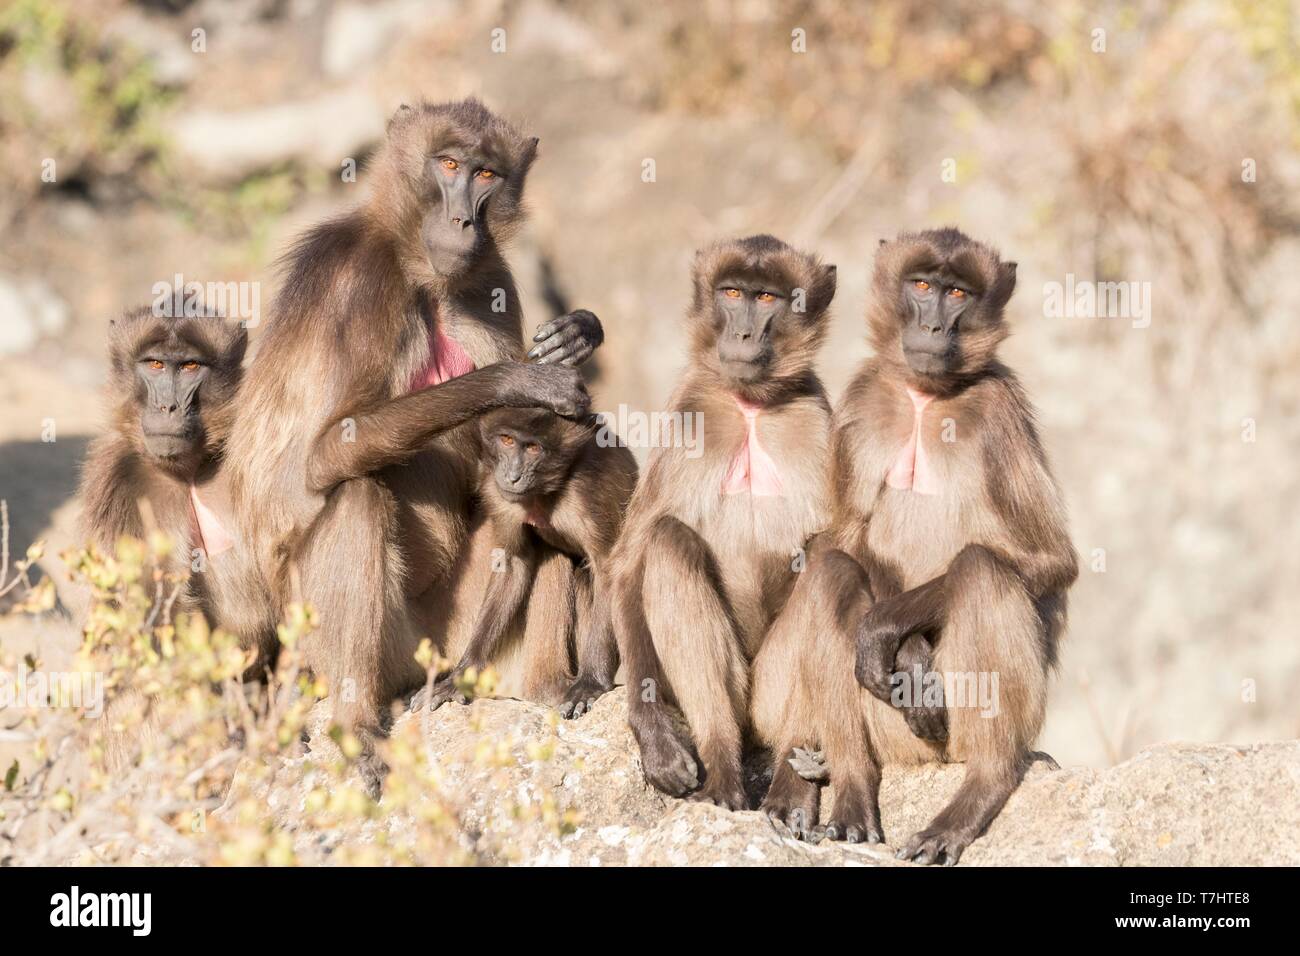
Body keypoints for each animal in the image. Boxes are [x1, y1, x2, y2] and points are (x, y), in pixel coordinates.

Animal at [210, 99, 604, 796]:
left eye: (486, 174)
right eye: (447, 164)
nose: (461, 220)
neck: (422, 271)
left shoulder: (492, 281)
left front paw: (578, 334)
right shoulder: (357, 283)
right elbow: (322, 454)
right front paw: (518, 379)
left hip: (454, 637)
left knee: (540, 536)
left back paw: (547, 692)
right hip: (346, 639)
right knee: (356, 498)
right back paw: (357, 727)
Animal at [417, 406, 637, 717]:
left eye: (533, 448)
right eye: (507, 440)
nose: (511, 476)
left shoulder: (591, 492)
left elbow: (609, 569)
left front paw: (591, 682)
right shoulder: (499, 495)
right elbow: (513, 565)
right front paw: (460, 677)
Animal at [610, 235, 837, 810]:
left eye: (767, 298)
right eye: (732, 293)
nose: (743, 334)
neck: (750, 407)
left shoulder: (817, 422)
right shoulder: (688, 416)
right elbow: (629, 564)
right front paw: (656, 735)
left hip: (769, 691)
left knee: (828, 553)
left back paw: (793, 778)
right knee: (669, 541)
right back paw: (722, 768)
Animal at [757, 227, 1078, 864]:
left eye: (958, 293)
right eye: (922, 285)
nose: (933, 327)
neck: (925, 398)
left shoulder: (1000, 408)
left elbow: (1051, 561)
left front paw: (890, 634)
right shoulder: (864, 400)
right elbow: (841, 541)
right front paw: (903, 653)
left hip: (953, 730)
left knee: (982, 567)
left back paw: (983, 786)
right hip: (889, 729)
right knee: (831, 574)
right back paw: (843, 791)